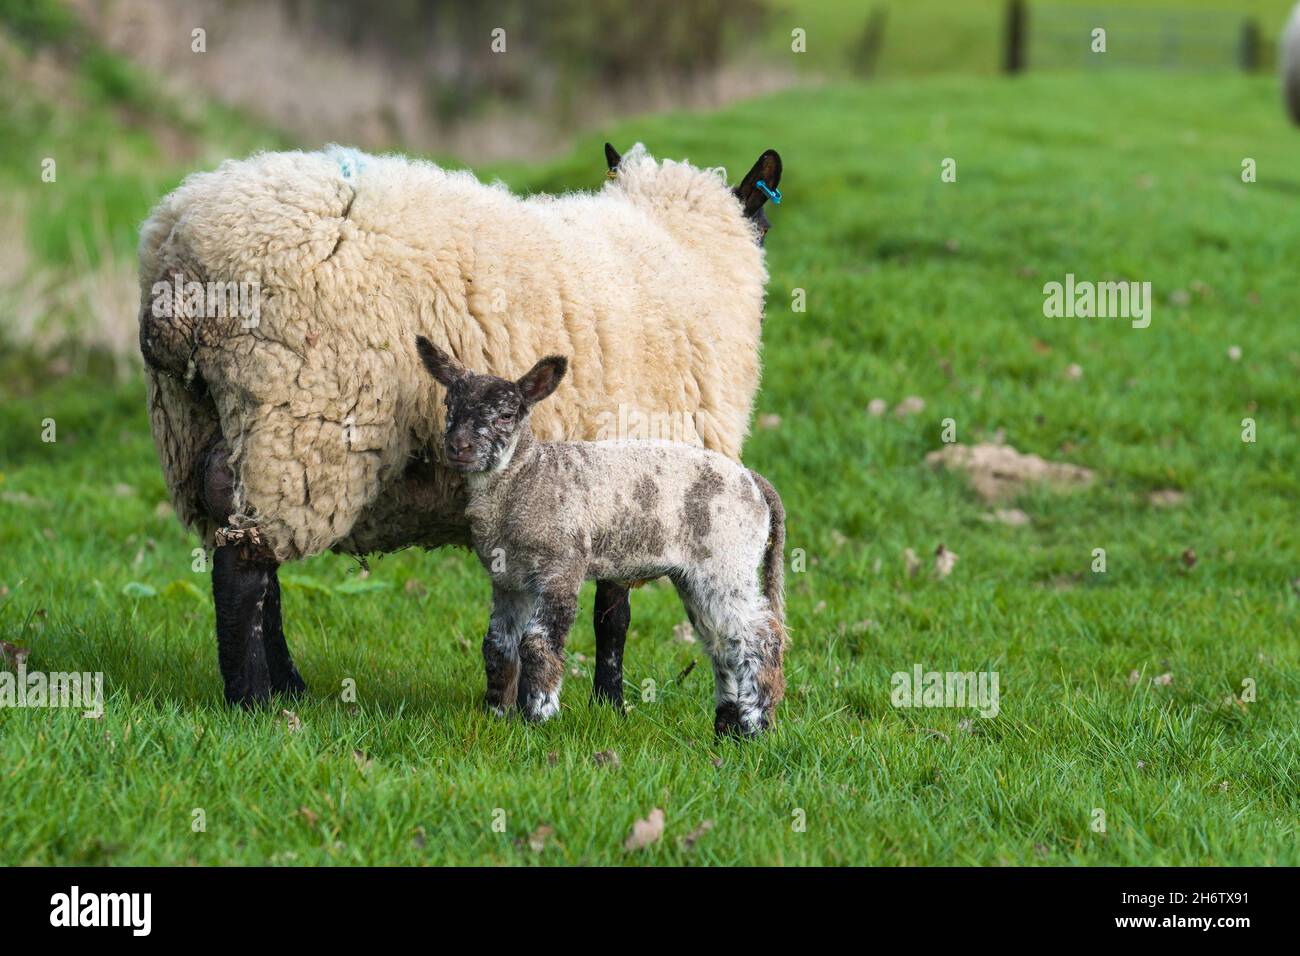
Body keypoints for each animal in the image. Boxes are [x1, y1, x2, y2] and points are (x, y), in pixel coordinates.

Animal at [415, 336, 786, 735]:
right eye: (448, 406)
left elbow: (538, 643)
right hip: (696, 573)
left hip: (727, 559)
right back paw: (727, 727)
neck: (527, 477)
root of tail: (753, 481)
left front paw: (539, 716)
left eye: (505, 416)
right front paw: (497, 714)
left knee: (758, 638)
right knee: (722, 642)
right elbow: (497, 644)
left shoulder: (562, 564)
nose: (459, 446)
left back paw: (755, 726)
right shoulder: (507, 578)